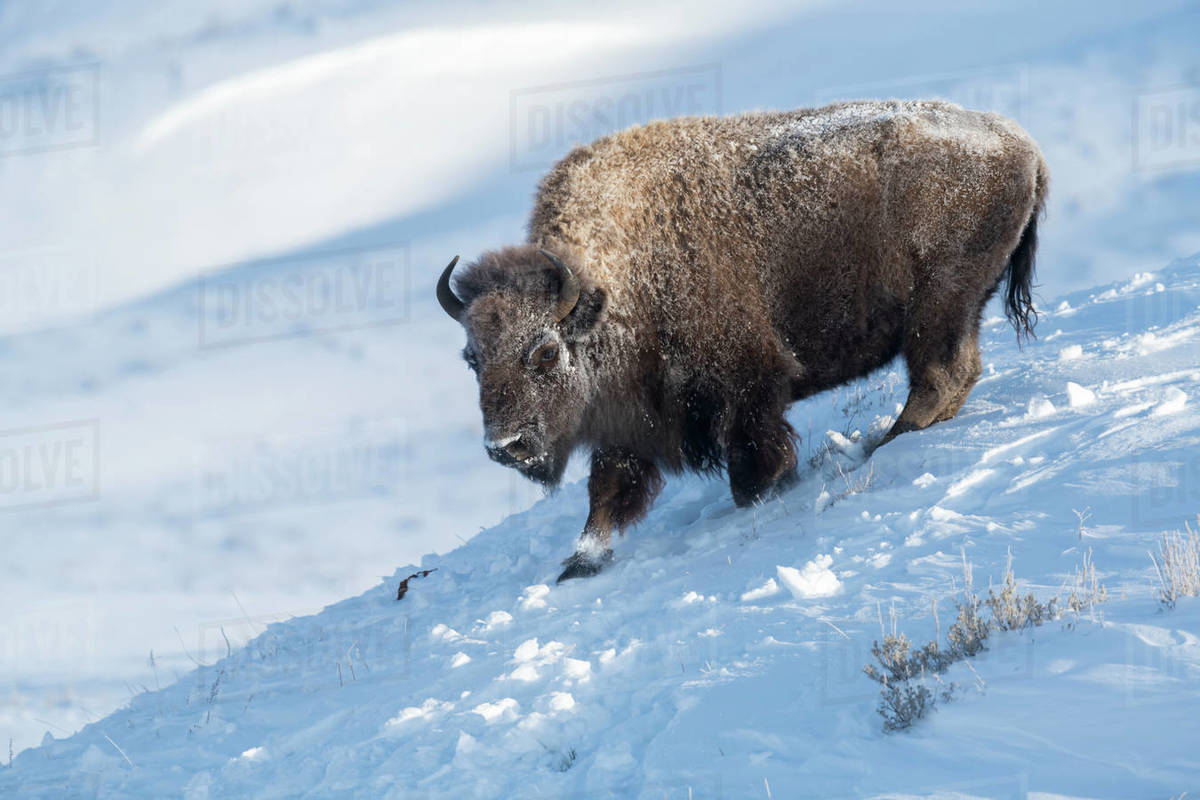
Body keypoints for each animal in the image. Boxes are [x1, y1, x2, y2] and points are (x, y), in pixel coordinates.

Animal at [437, 100, 1048, 582]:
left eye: (545, 352)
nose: (505, 446)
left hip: (939, 305)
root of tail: (1023, 146)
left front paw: (767, 494)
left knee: (940, 375)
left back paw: (878, 445)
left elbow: (751, 461)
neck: (616, 283)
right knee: (954, 374)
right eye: (471, 359)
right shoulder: (627, 423)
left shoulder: (747, 388)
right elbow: (606, 492)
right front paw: (579, 564)